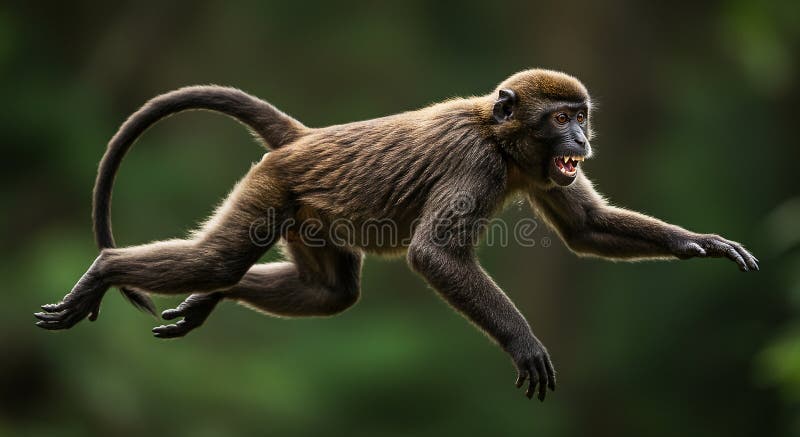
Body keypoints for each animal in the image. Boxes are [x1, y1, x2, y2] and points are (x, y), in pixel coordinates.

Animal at [35, 69, 758, 402]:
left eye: (581, 116)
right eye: (561, 118)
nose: (582, 139)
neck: (499, 135)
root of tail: (304, 138)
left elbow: (586, 227)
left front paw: (700, 244)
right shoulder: (476, 162)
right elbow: (434, 253)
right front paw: (524, 344)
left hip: (309, 209)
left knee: (329, 291)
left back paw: (213, 297)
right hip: (276, 183)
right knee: (225, 255)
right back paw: (105, 269)